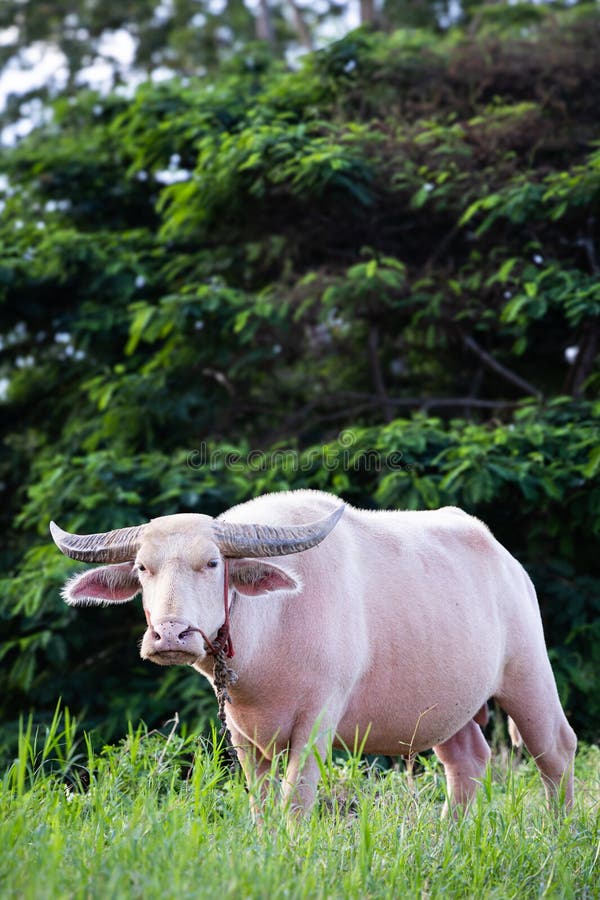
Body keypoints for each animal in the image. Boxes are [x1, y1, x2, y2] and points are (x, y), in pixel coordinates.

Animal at [50, 489, 576, 815]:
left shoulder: (318, 724)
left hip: (529, 673)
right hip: (447, 705)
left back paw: (560, 832)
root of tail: (508, 563)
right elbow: (260, 801)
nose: (170, 636)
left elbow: (295, 800)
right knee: (466, 760)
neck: (270, 635)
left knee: (555, 751)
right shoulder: (243, 734)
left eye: (213, 562)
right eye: (142, 567)